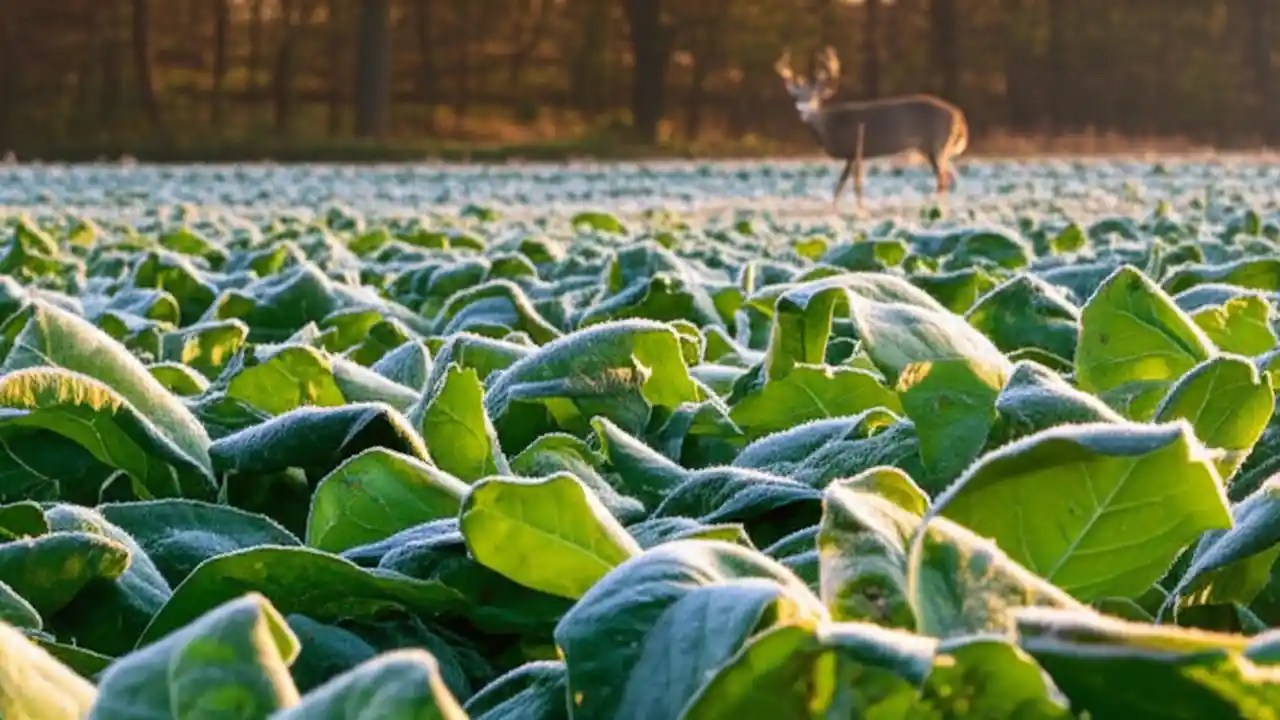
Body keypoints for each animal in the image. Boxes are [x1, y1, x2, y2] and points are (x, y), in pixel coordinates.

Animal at [775, 46, 969, 208]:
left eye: (815, 98)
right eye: (796, 97)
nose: (802, 109)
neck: (830, 125)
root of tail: (958, 114)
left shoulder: (854, 148)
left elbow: (849, 183)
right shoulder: (854, 155)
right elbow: (844, 184)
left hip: (936, 142)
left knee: (942, 178)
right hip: (935, 148)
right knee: (952, 176)